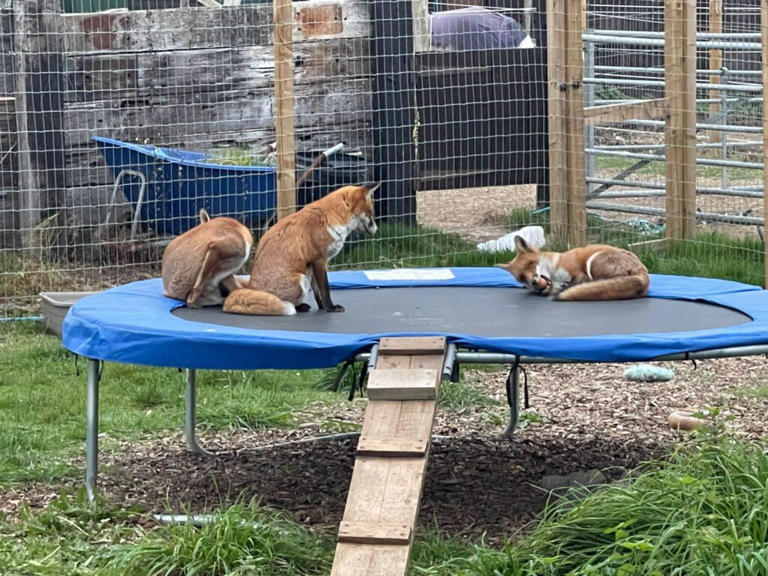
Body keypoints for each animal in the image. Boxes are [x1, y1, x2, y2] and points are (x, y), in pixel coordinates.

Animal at [222, 183, 378, 316]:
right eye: (370, 213)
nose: (376, 230)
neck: (329, 218)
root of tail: (251, 287)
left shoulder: (315, 264)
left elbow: (317, 292)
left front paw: (323, 308)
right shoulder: (319, 260)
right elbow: (325, 289)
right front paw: (331, 308)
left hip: (306, 273)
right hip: (301, 279)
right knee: (284, 303)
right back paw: (299, 307)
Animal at [499, 236, 649, 301]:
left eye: (531, 263)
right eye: (521, 277)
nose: (534, 281)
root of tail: (643, 272)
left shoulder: (579, 273)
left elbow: (577, 281)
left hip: (593, 261)